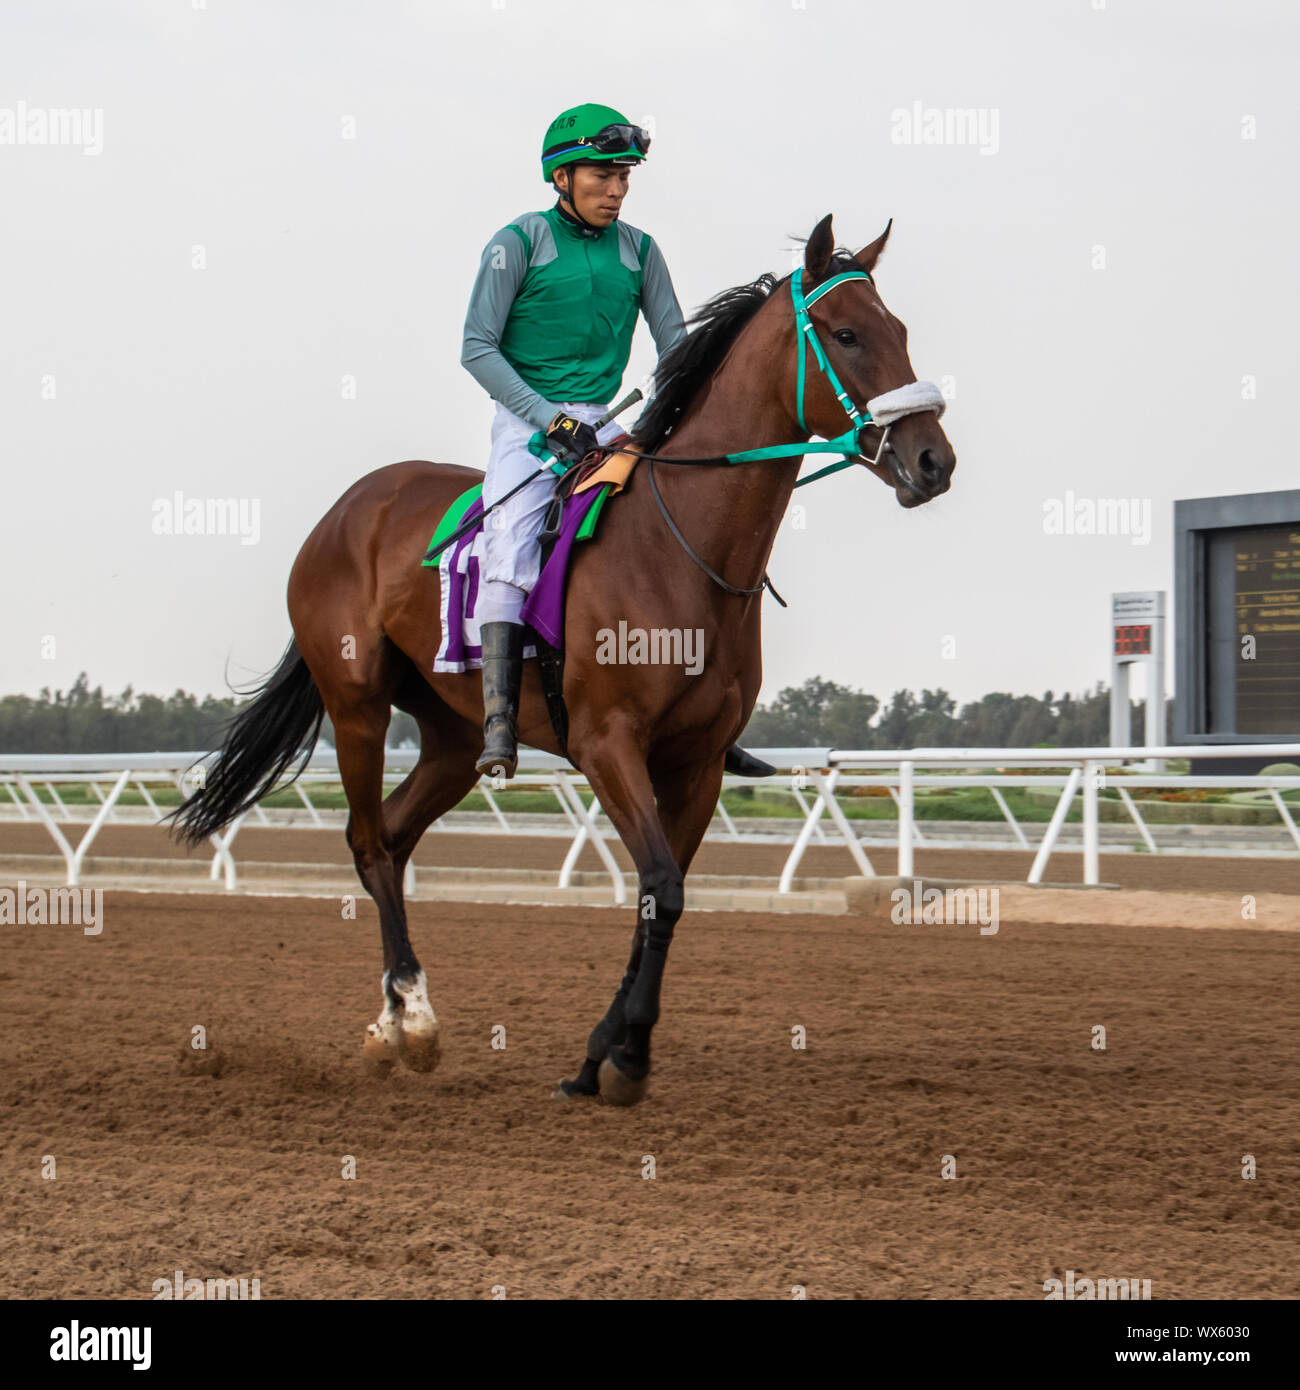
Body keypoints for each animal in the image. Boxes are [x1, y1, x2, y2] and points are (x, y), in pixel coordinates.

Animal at [170, 213, 956, 1105]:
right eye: (847, 334)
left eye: (901, 331)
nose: (934, 460)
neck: (681, 550)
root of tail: (346, 509)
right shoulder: (607, 742)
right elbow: (662, 888)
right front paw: (628, 1055)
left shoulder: (698, 762)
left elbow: (660, 896)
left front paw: (600, 1055)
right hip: (357, 705)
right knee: (368, 841)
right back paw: (414, 1020)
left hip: (453, 735)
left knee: (396, 840)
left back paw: (392, 1023)